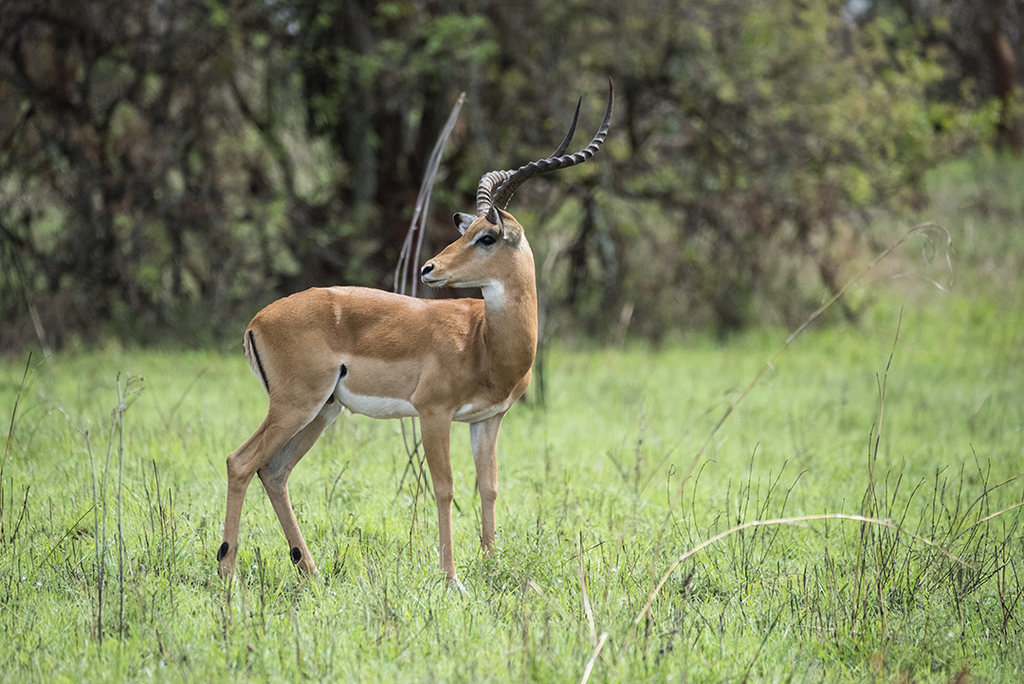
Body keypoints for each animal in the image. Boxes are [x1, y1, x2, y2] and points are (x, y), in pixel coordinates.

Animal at [217, 81, 613, 586]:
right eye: (471, 230)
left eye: (487, 236)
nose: (429, 269)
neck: (485, 343)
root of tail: (257, 320)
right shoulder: (433, 412)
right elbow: (444, 487)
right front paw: (452, 578)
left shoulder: (489, 419)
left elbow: (489, 487)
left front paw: (490, 564)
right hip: (295, 405)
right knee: (241, 462)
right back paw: (228, 571)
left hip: (323, 410)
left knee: (274, 472)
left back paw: (311, 571)